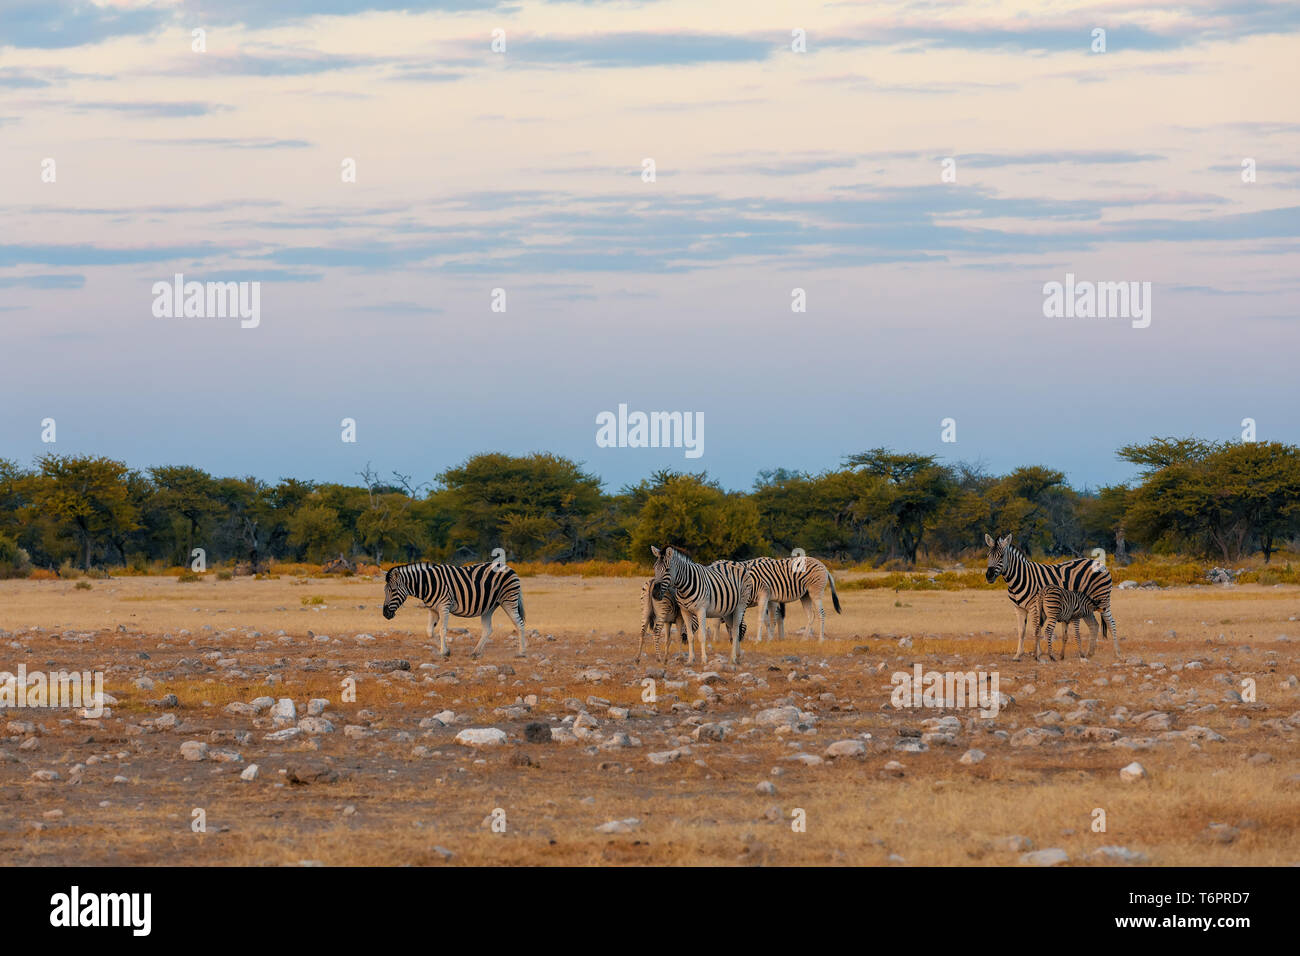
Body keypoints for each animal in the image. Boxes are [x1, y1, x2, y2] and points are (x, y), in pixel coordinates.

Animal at [382, 561, 526, 659]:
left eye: (393, 590)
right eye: (384, 591)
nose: (385, 613)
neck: (427, 584)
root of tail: (508, 567)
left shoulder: (444, 606)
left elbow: (442, 629)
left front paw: (443, 652)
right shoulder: (432, 609)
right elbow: (429, 631)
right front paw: (446, 651)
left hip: (508, 600)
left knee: (519, 624)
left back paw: (521, 652)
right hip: (489, 606)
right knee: (488, 629)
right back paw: (475, 652)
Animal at [984, 533, 1119, 660]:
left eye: (1001, 556)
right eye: (988, 555)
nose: (989, 575)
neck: (1019, 578)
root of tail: (1098, 562)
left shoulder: (1035, 606)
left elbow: (1036, 629)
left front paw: (1038, 654)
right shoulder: (1018, 608)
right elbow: (1021, 631)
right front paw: (1018, 655)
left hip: (1103, 600)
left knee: (1111, 623)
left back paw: (1117, 654)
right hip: (1086, 605)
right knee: (1094, 625)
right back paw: (1089, 654)